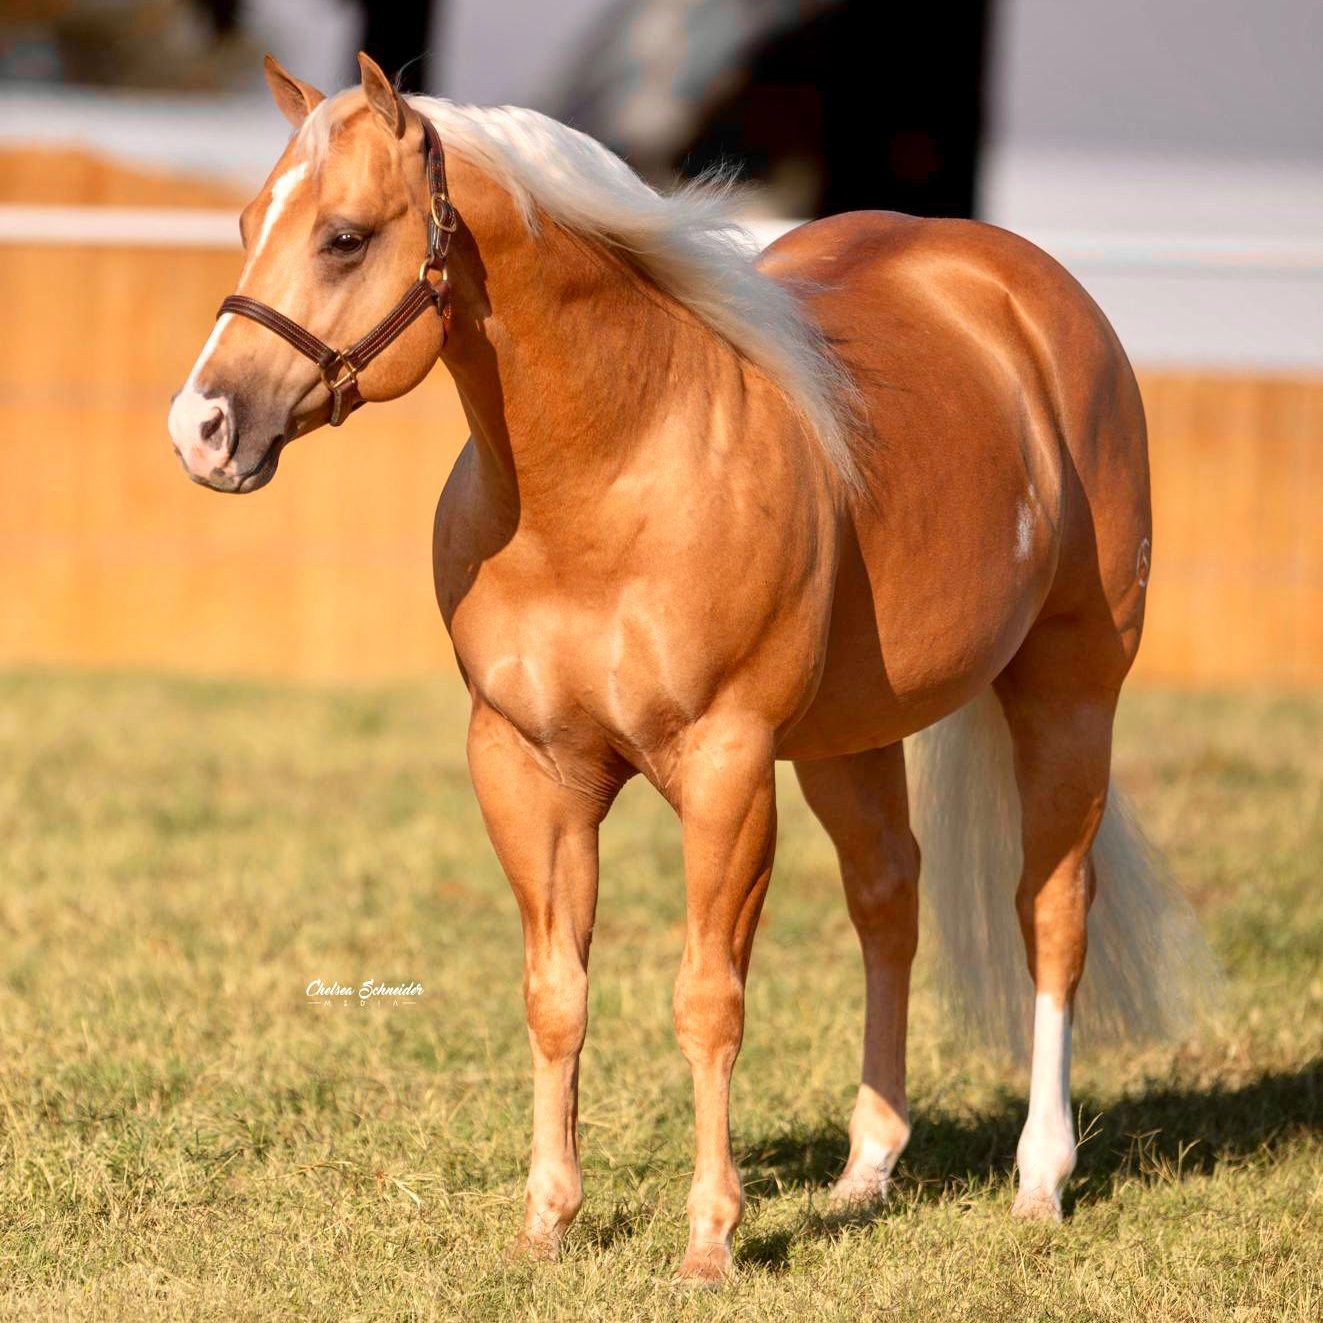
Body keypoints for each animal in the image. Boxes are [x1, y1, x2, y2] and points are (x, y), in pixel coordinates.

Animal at [168, 53, 1209, 1282]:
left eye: (341, 237)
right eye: (248, 222)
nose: (201, 428)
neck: (610, 475)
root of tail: (1034, 299)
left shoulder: (726, 770)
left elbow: (708, 999)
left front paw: (710, 1239)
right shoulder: (527, 769)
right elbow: (556, 994)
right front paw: (547, 1225)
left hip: (1067, 692)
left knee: (1050, 910)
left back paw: (1039, 1182)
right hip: (852, 739)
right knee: (888, 903)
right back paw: (865, 1174)